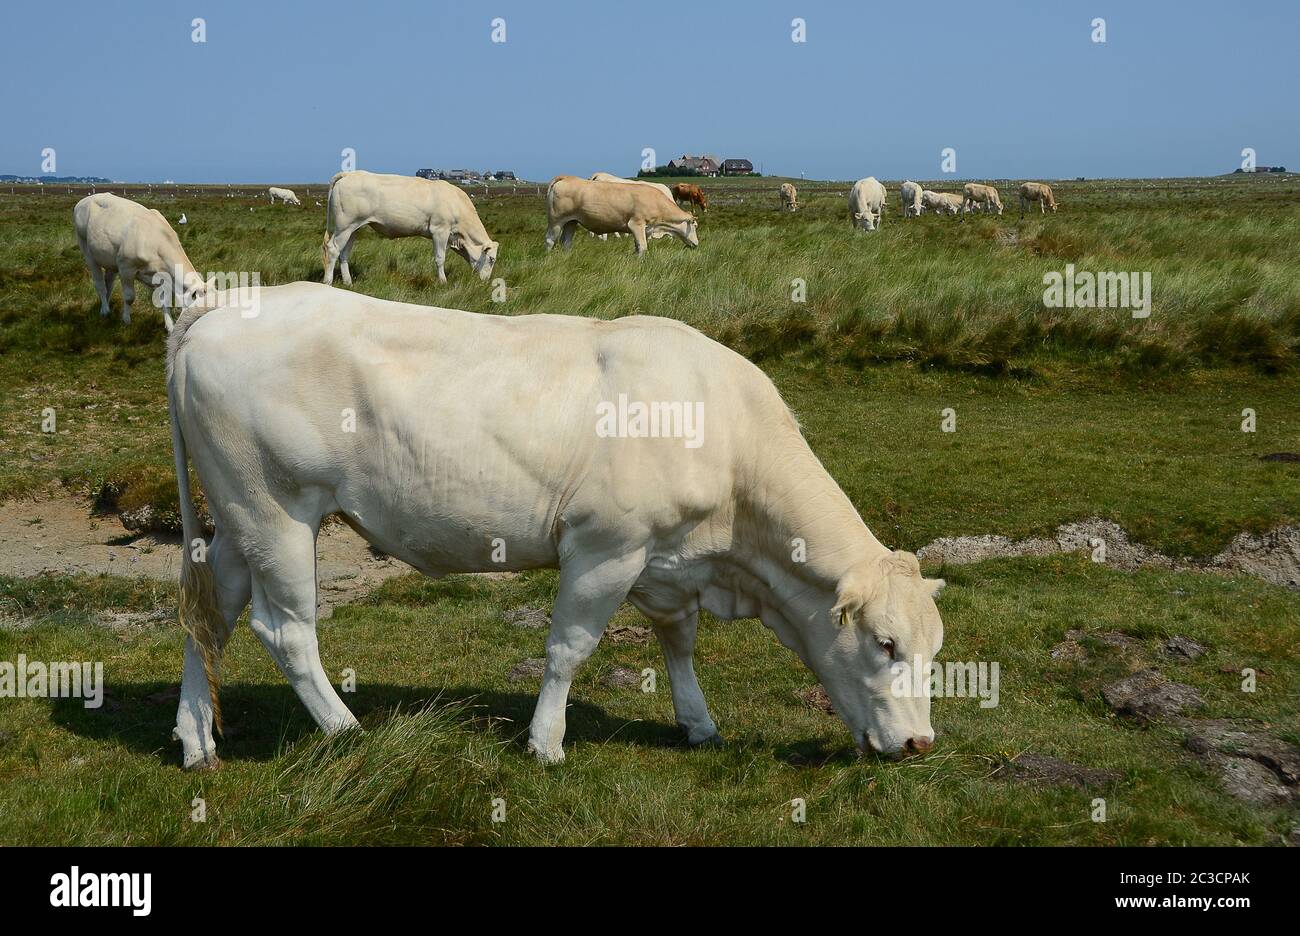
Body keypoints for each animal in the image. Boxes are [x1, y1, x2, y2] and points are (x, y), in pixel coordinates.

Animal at [73, 193, 208, 331]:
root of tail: (84, 200)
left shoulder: (161, 276)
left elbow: (164, 300)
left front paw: (170, 326)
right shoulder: (126, 268)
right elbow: (129, 297)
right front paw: (126, 320)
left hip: (110, 260)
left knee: (109, 283)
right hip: (87, 251)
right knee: (99, 284)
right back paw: (105, 310)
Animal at [166, 282, 946, 770]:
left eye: (935, 650)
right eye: (885, 643)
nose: (921, 745)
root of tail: (227, 302)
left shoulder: (670, 560)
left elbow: (679, 642)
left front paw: (698, 723)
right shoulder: (607, 547)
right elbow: (569, 648)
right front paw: (546, 742)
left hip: (237, 519)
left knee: (211, 616)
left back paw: (198, 740)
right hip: (277, 511)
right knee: (285, 631)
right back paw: (346, 729)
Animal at [321, 170, 499, 286]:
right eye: (491, 259)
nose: (486, 282)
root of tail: (349, 174)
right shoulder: (440, 230)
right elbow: (440, 258)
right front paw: (443, 281)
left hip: (353, 228)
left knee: (344, 253)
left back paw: (348, 282)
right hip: (344, 226)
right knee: (333, 249)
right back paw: (328, 282)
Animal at [546, 175, 698, 254]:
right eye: (694, 226)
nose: (697, 244)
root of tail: (566, 177)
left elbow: (638, 247)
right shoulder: (636, 224)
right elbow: (643, 247)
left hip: (571, 222)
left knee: (566, 242)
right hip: (556, 221)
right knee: (549, 240)